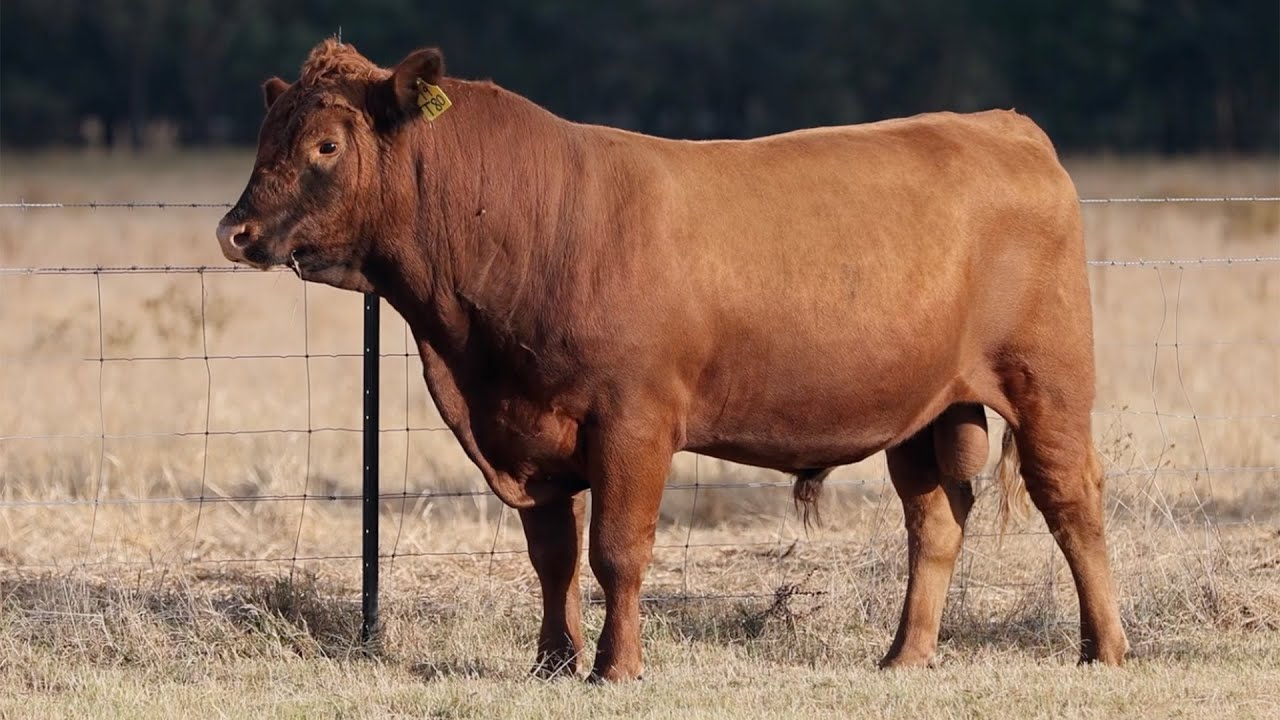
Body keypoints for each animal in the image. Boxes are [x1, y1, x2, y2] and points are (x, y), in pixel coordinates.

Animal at [216, 40, 1128, 681]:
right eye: (266, 135)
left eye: (326, 145)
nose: (236, 231)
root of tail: (1002, 123)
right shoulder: (527, 430)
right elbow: (552, 554)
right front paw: (552, 663)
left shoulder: (633, 421)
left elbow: (617, 549)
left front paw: (616, 668)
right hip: (923, 409)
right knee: (935, 518)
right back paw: (905, 655)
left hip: (1048, 384)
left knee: (1072, 502)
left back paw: (1104, 648)